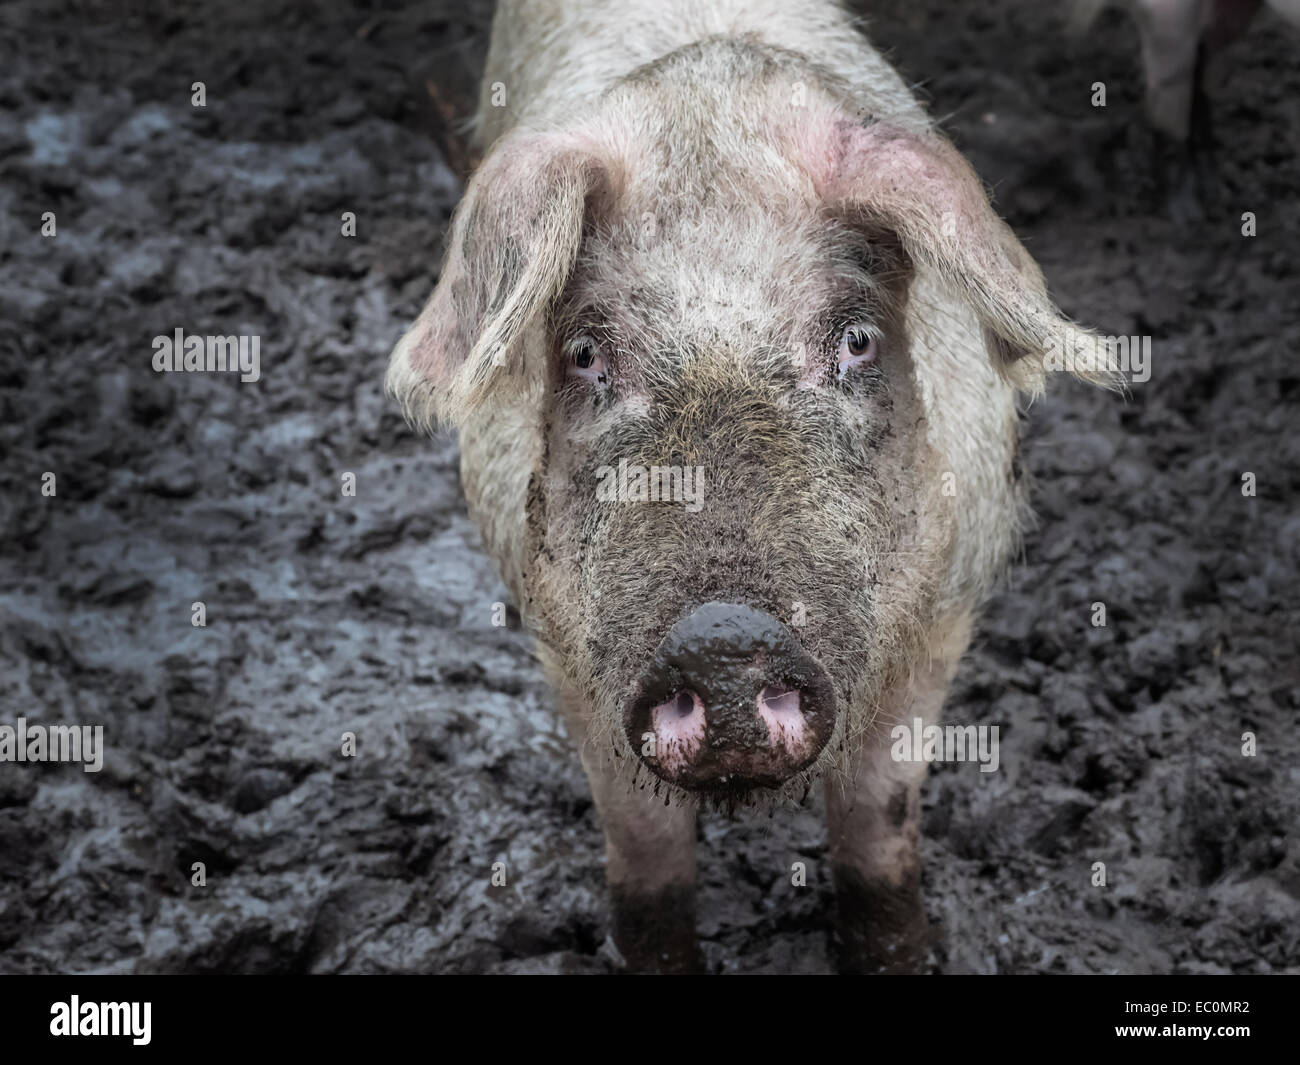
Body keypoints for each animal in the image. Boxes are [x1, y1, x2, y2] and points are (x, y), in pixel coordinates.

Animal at [388, 0, 1116, 973]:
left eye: (855, 340)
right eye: (584, 354)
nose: (723, 636)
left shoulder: (943, 616)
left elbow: (878, 829)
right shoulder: (566, 649)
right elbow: (646, 851)